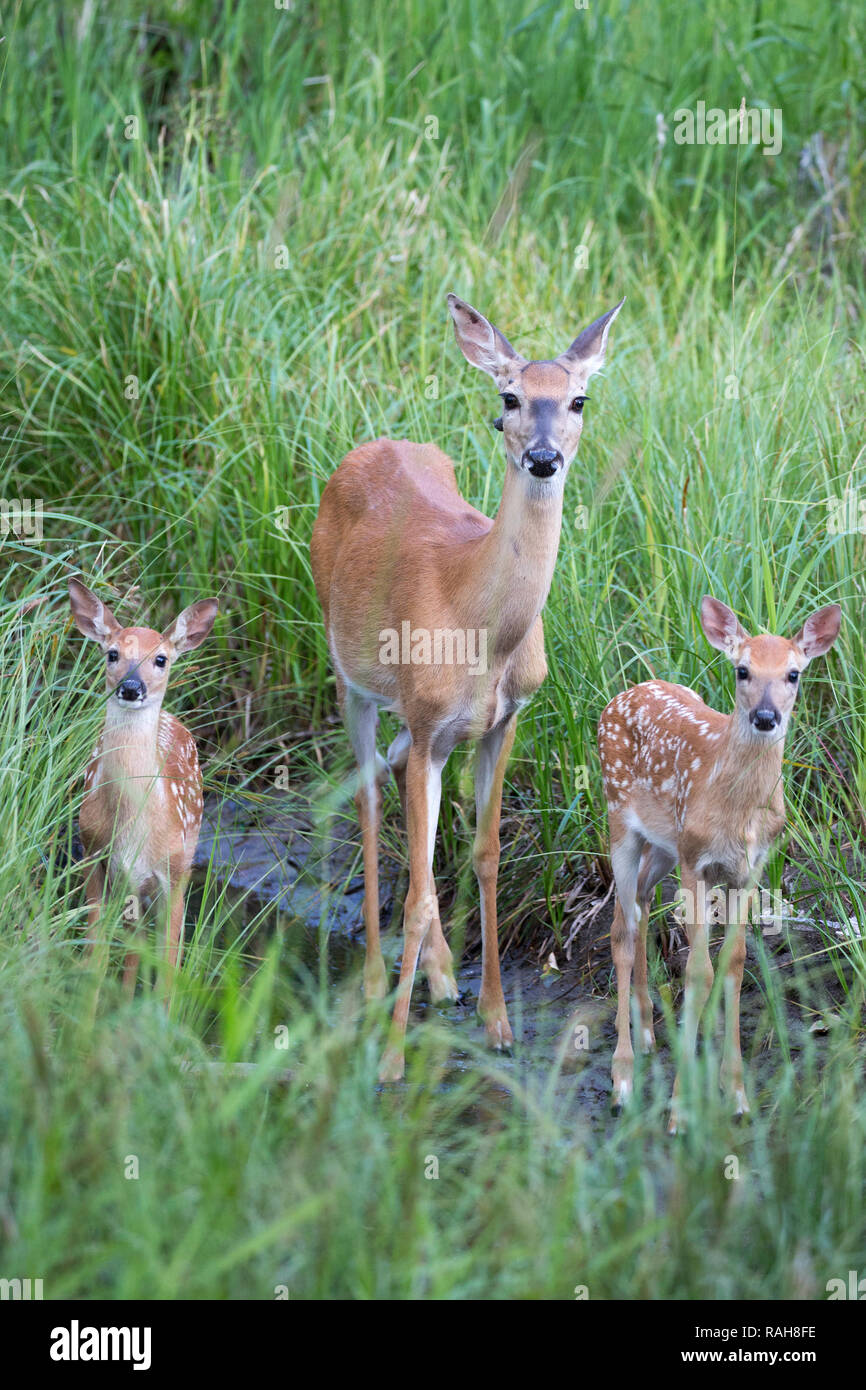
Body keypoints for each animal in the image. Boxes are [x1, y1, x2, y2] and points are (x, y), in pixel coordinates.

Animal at [68, 578, 218, 989]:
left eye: (161, 659)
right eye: (112, 653)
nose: (132, 687)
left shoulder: (175, 873)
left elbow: (169, 970)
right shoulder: (92, 855)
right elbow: (95, 958)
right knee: (132, 943)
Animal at [311, 290, 624, 1081]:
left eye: (578, 398)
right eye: (508, 396)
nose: (542, 457)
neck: (478, 622)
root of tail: (370, 446)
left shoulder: (501, 722)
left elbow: (483, 857)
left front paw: (498, 1022)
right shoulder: (426, 718)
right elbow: (422, 894)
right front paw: (391, 1060)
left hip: (430, 730)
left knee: (394, 786)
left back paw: (444, 976)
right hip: (351, 677)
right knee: (368, 793)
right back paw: (372, 982)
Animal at [598, 595, 842, 1132]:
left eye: (794, 673)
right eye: (742, 669)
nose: (766, 717)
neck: (736, 810)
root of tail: (624, 692)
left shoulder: (749, 869)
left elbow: (734, 962)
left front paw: (736, 1095)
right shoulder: (696, 862)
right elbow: (698, 972)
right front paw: (679, 1110)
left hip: (663, 846)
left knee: (640, 903)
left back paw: (648, 1033)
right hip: (620, 820)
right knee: (621, 929)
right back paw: (622, 1080)